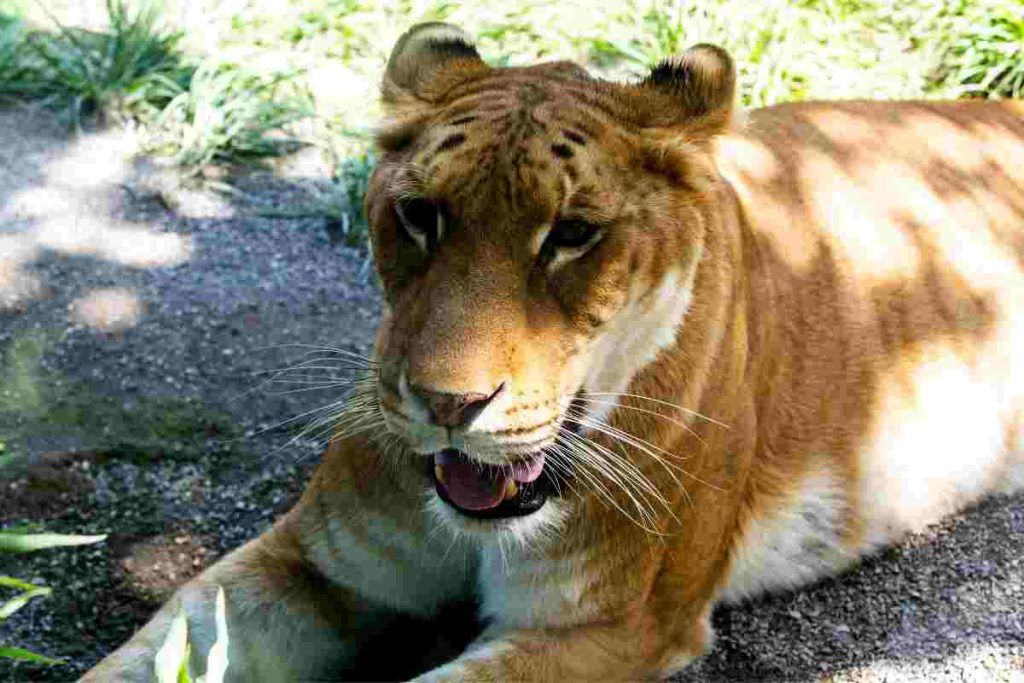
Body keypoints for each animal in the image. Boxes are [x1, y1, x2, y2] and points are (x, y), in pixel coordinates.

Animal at [85, 22, 1024, 681]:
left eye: (572, 235)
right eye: (420, 215)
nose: (447, 404)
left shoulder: (610, 627)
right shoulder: (315, 560)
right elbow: (154, 647)